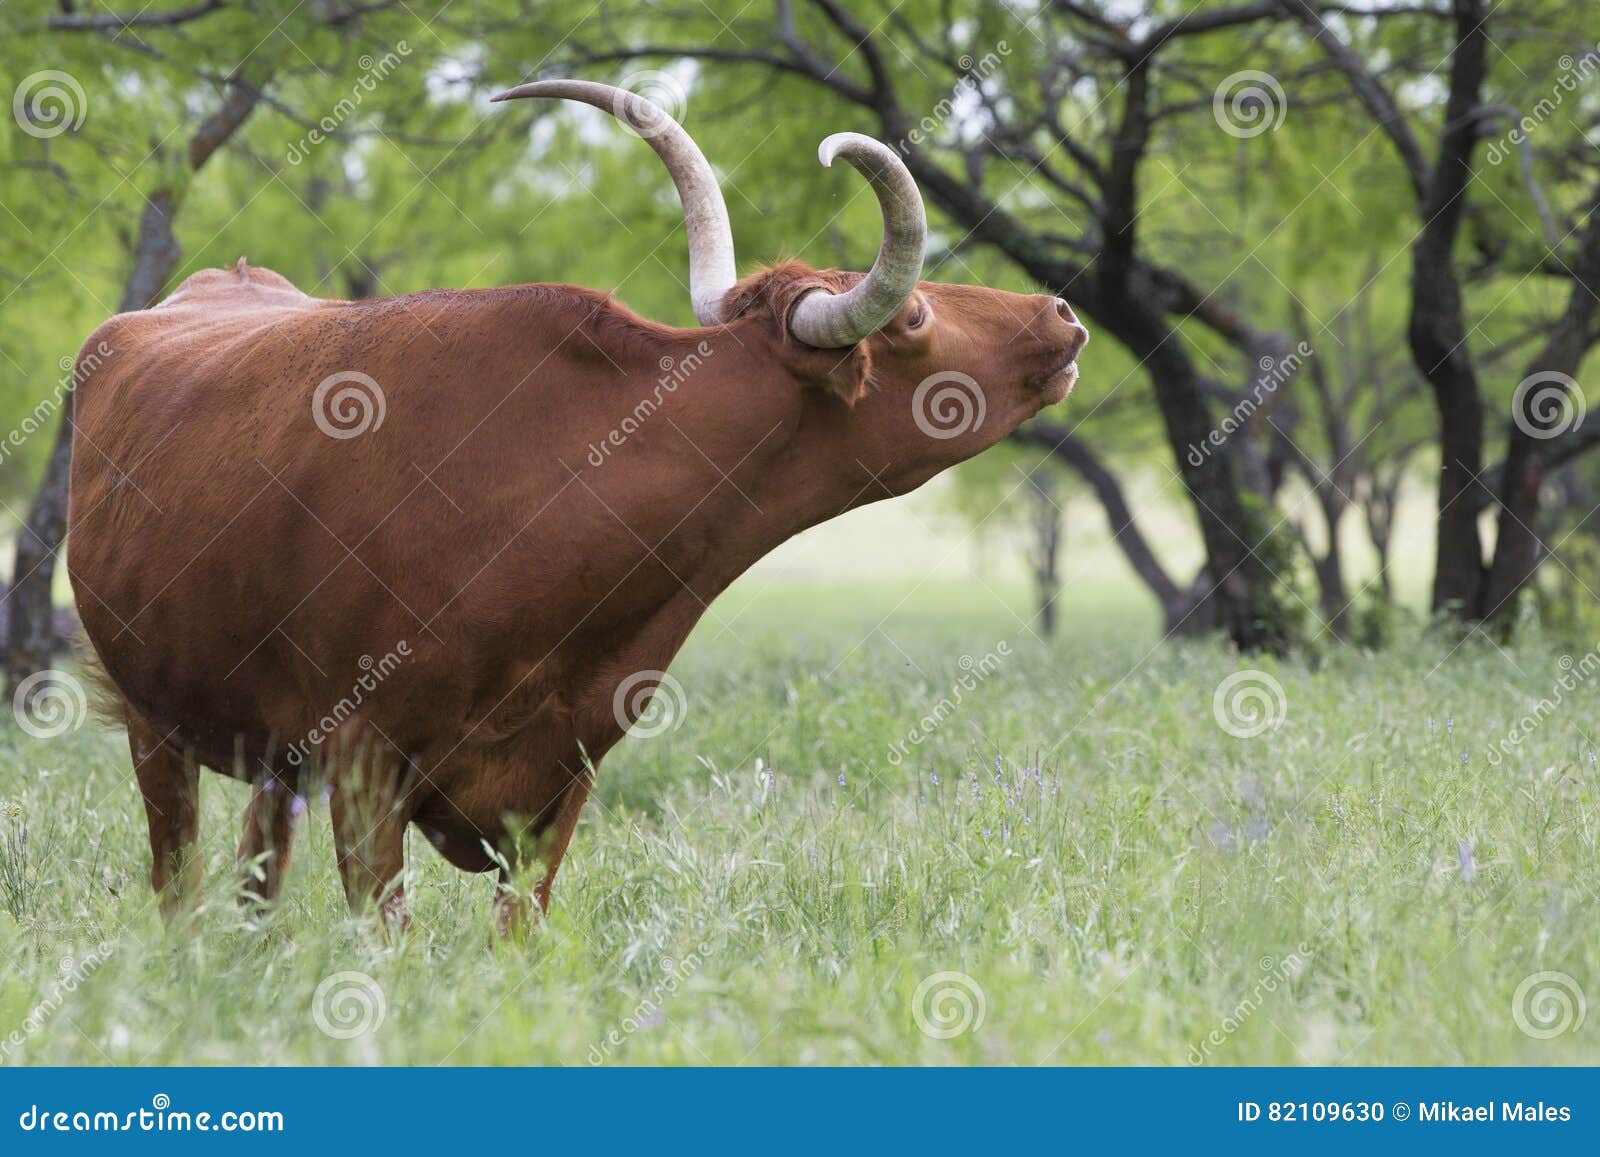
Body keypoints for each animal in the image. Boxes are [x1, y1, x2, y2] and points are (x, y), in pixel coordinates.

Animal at [66, 80, 1089, 933]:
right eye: (914, 318)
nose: (1062, 315)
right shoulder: (365, 767)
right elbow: (383, 935)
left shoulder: (565, 777)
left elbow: (519, 928)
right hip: (155, 723)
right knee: (180, 880)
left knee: (254, 871)